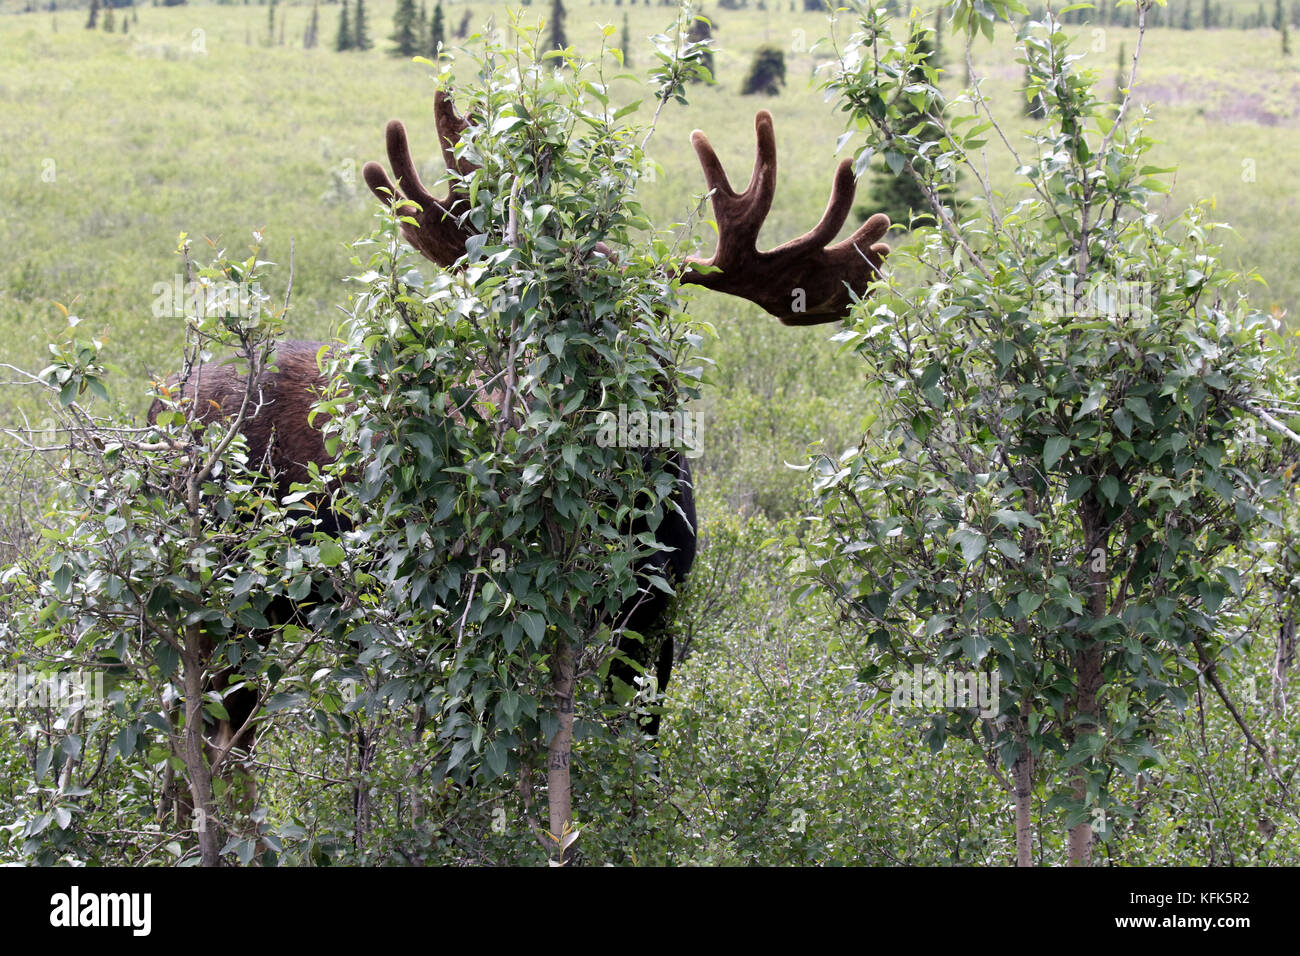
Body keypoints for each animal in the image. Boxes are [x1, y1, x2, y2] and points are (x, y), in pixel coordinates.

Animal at [148, 90, 891, 841]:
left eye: (640, 306)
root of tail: (162, 404)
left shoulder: (657, 612)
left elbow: (637, 750)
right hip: (228, 597)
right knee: (215, 736)